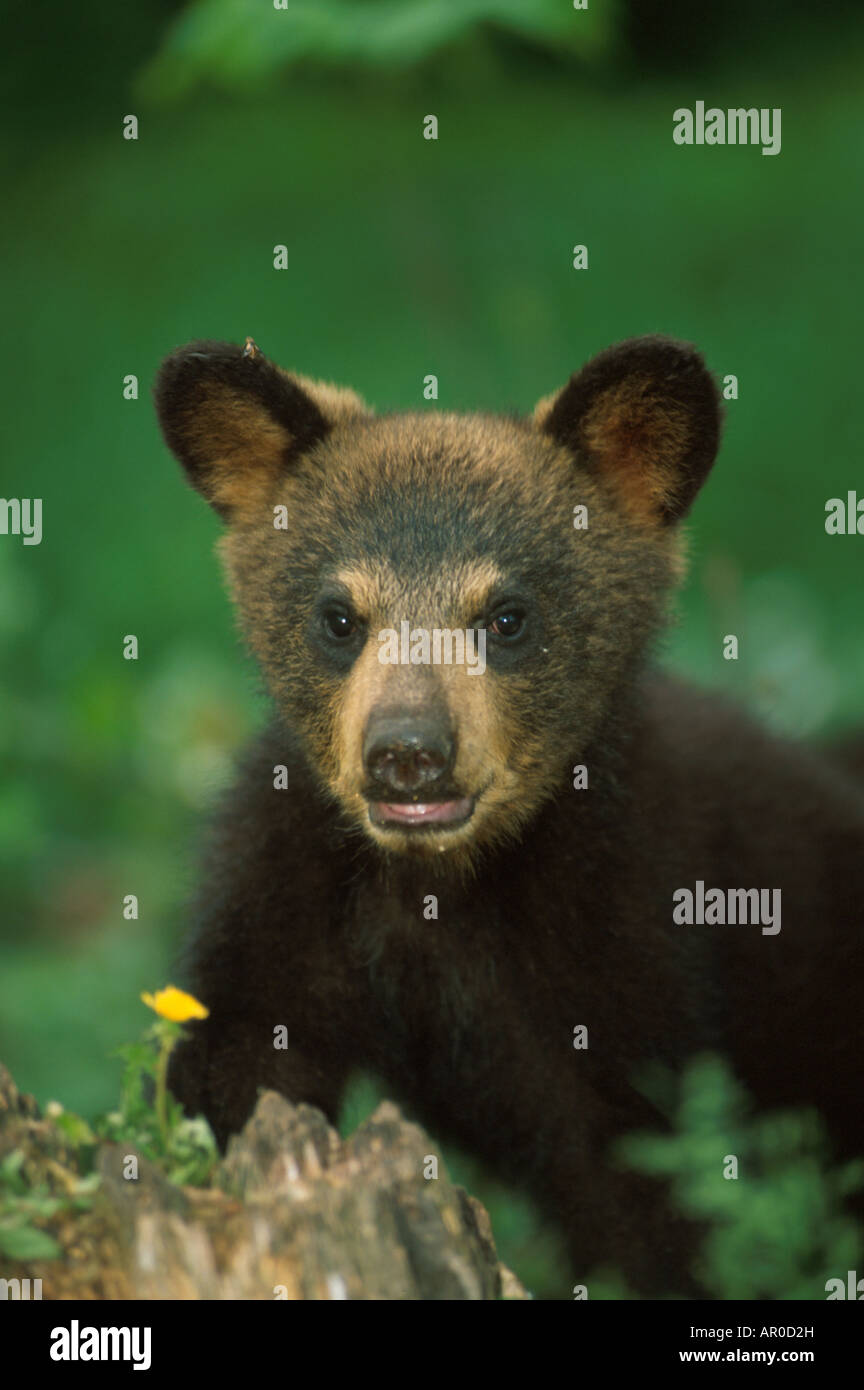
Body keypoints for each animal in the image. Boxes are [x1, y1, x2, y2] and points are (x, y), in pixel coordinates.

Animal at [154, 334, 864, 1296]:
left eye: (507, 615)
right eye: (338, 617)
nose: (408, 751)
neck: (441, 889)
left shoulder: (634, 938)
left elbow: (653, 1191)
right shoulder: (286, 872)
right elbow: (236, 1056)